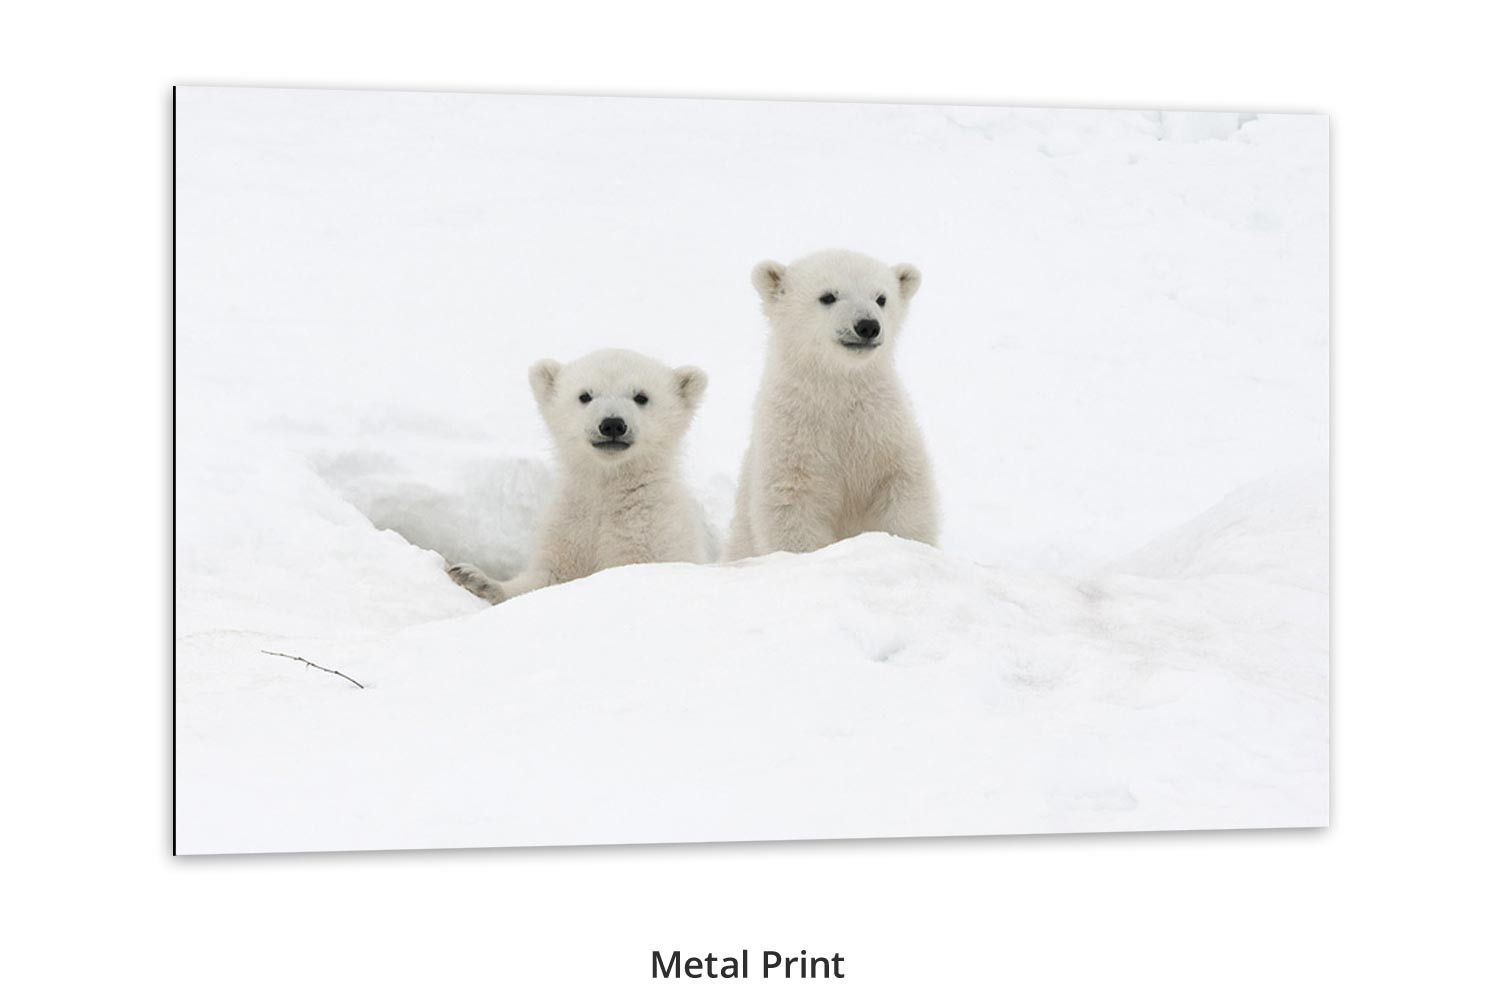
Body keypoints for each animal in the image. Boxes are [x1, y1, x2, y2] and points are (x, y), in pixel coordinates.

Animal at [448, 348, 710, 603]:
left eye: (641, 397)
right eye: (585, 396)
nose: (612, 424)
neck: (606, 482)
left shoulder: (652, 528)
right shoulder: (569, 523)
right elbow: (547, 577)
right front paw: (472, 577)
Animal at [724, 249, 938, 560]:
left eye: (881, 298)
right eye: (827, 296)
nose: (867, 326)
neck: (836, 386)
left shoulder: (882, 426)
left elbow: (905, 489)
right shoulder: (792, 436)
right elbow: (790, 505)